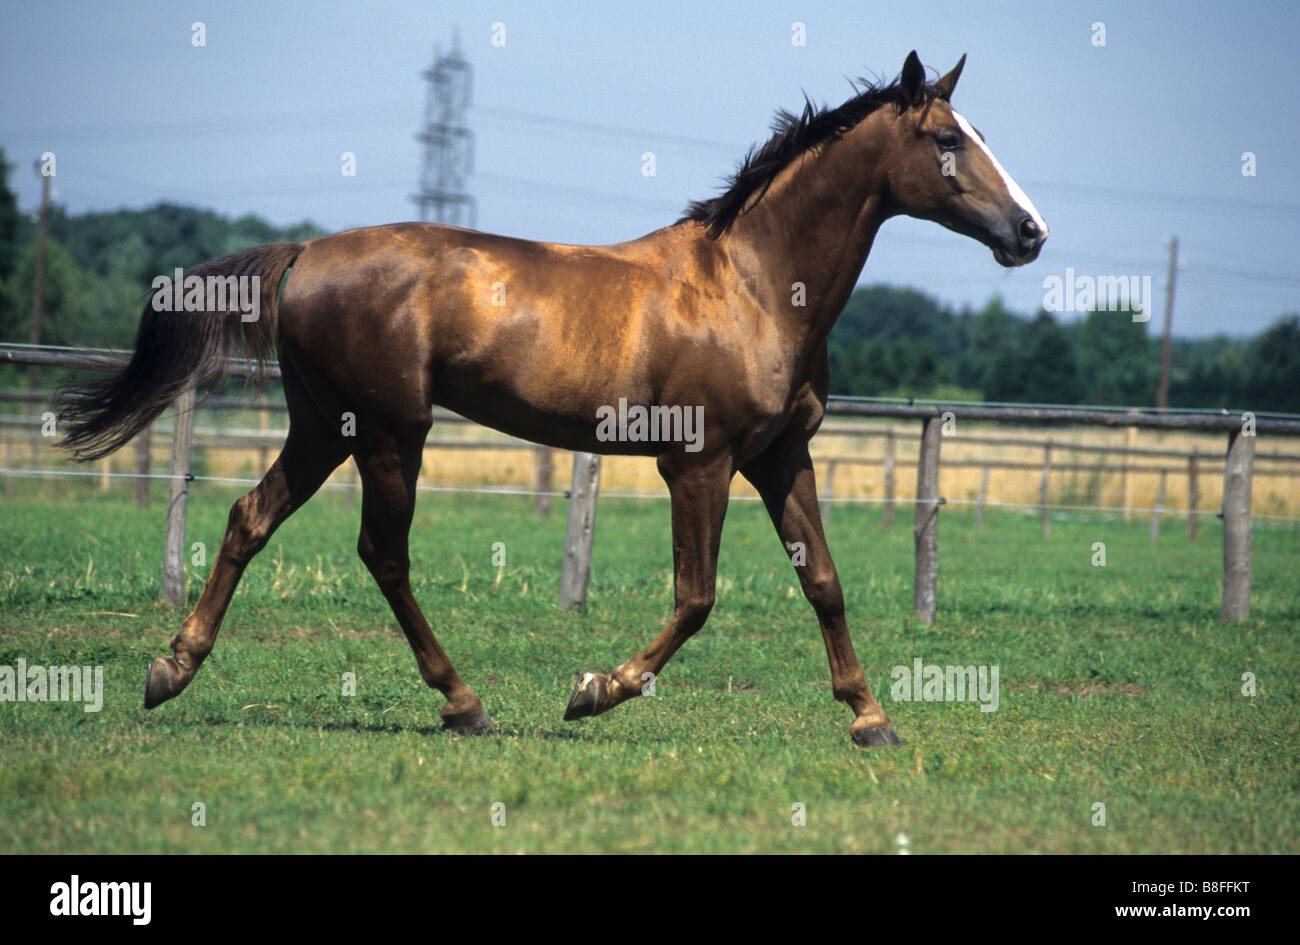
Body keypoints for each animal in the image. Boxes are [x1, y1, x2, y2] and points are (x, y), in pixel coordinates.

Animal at [57, 51, 1046, 748]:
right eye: (947, 140)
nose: (1030, 231)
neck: (753, 285)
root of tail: (305, 254)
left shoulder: (780, 456)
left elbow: (826, 583)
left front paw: (870, 717)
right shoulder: (700, 463)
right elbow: (697, 597)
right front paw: (594, 691)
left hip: (325, 427)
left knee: (249, 518)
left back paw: (172, 667)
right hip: (388, 432)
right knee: (383, 552)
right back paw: (463, 701)